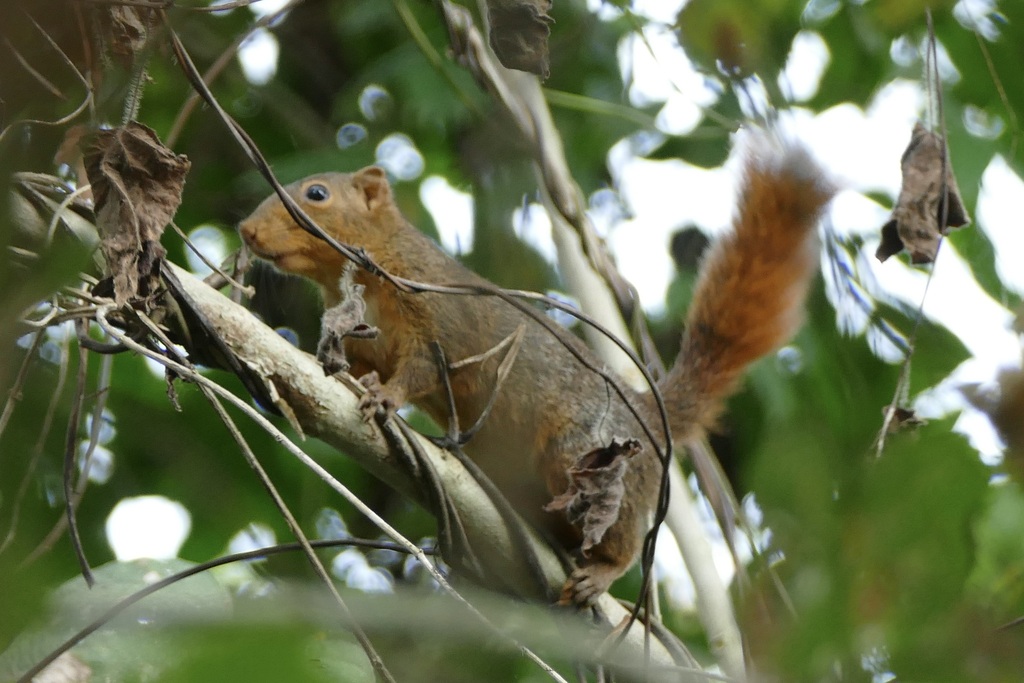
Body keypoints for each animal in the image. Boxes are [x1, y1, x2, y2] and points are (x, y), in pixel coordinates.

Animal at [238, 137, 835, 605]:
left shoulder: (437, 324)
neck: (366, 272)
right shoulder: (363, 339)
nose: (244, 229)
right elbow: (352, 362)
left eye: (317, 194)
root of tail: (649, 415)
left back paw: (603, 572)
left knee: (622, 532)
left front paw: (385, 397)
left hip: (583, 453)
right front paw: (331, 372)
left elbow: (420, 371)